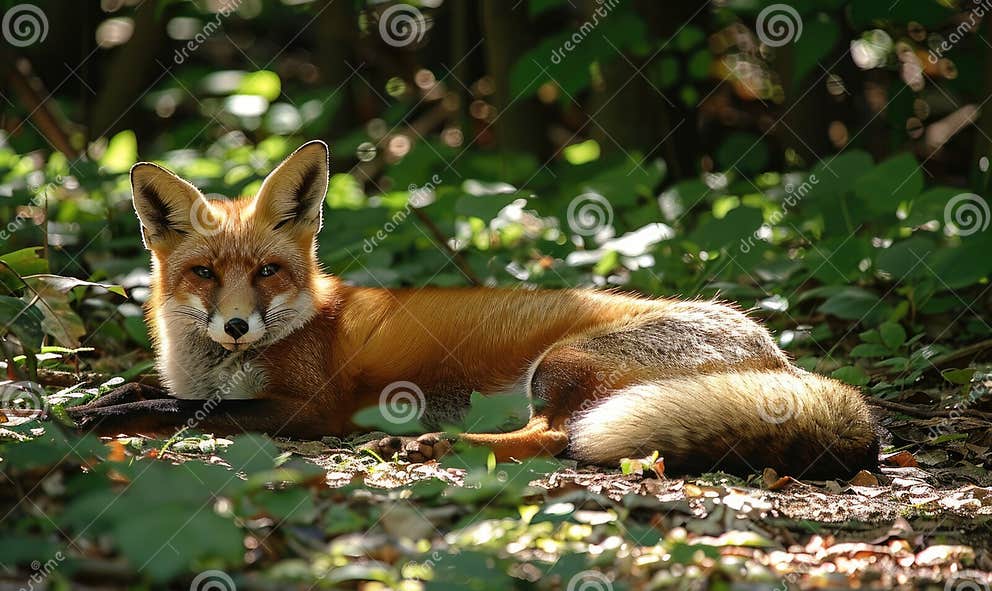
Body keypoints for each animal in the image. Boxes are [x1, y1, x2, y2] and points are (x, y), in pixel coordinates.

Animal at [67, 140, 880, 478]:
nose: (237, 325)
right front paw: (92, 402)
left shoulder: (308, 409)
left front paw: (97, 421)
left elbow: (170, 410)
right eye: (204, 274)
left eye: (267, 272)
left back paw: (436, 446)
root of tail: (778, 355)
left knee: (559, 438)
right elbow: (147, 390)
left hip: (561, 366)